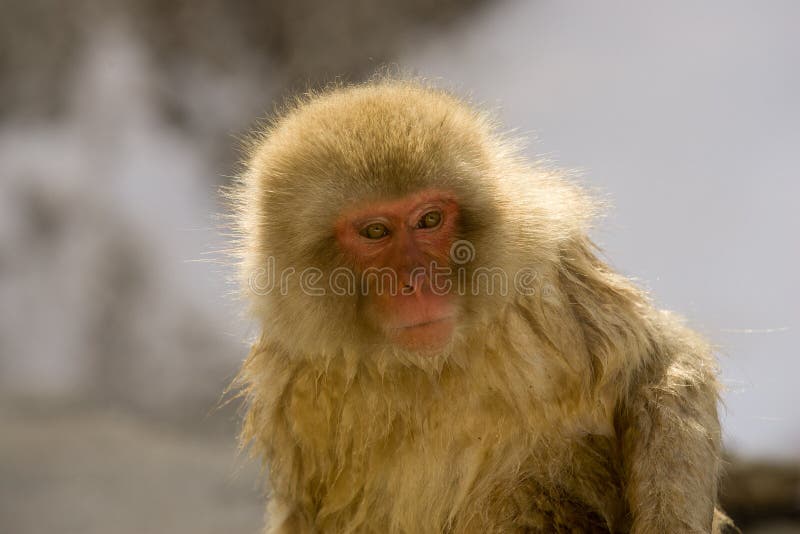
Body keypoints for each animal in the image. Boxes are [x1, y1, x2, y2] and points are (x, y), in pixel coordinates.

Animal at [229, 79, 734, 533]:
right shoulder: (292, 386)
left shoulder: (547, 280)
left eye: (430, 219)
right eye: (375, 231)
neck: (428, 369)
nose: (416, 282)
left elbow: (657, 367)